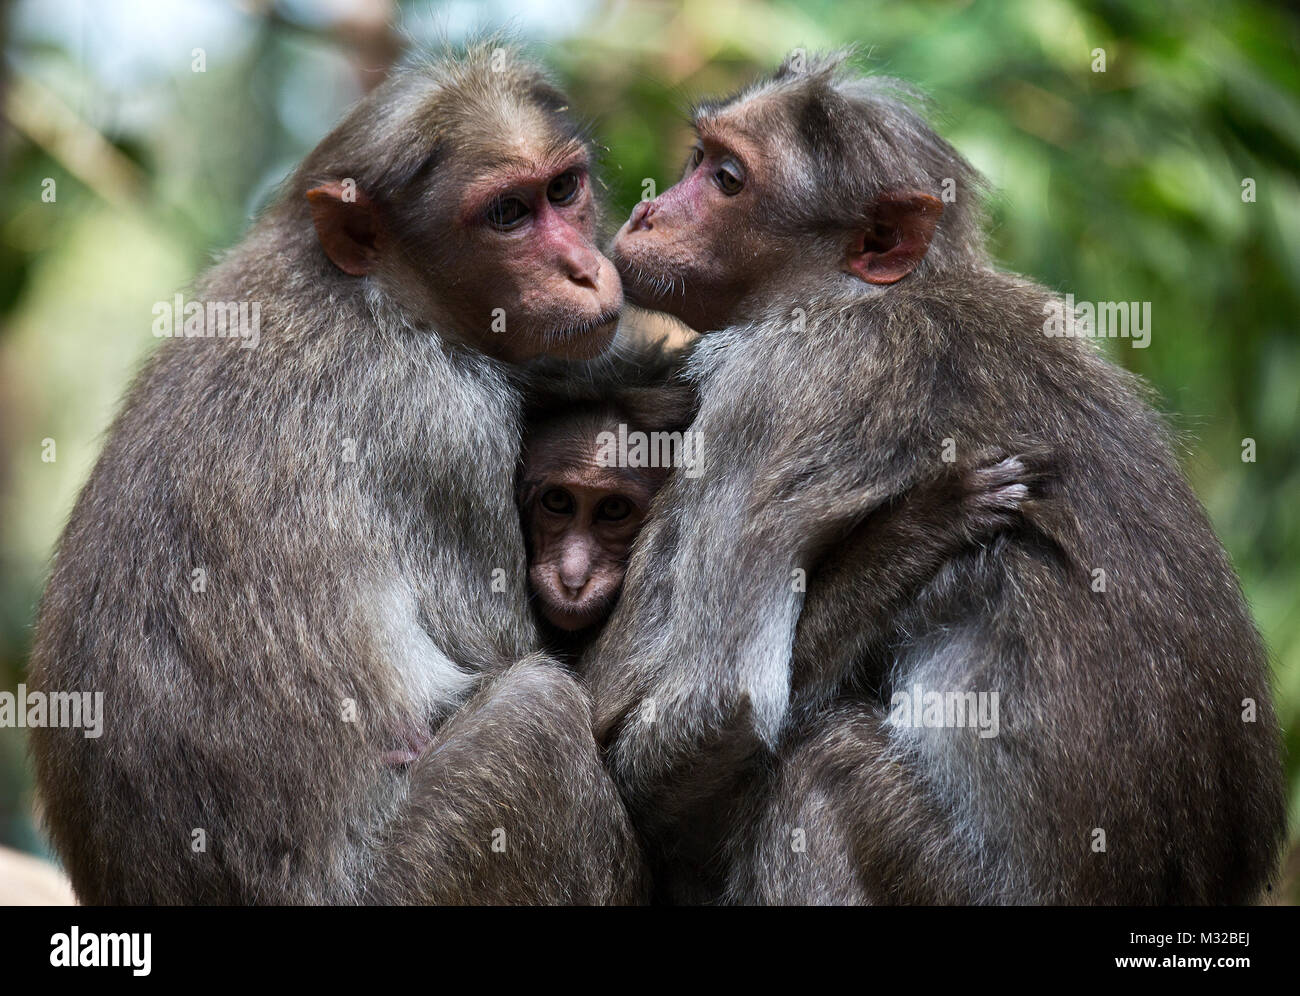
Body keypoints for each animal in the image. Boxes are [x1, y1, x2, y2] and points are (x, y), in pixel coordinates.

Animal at [27, 43, 650, 905]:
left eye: (563, 191)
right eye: (507, 216)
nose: (586, 269)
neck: (381, 298)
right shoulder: (442, 427)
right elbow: (519, 659)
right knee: (536, 714)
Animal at [587, 52, 1285, 904]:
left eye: (726, 179)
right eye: (699, 157)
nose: (646, 216)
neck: (865, 293)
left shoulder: (773, 389)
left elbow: (724, 701)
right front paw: (916, 534)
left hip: (949, 880)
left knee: (819, 768)